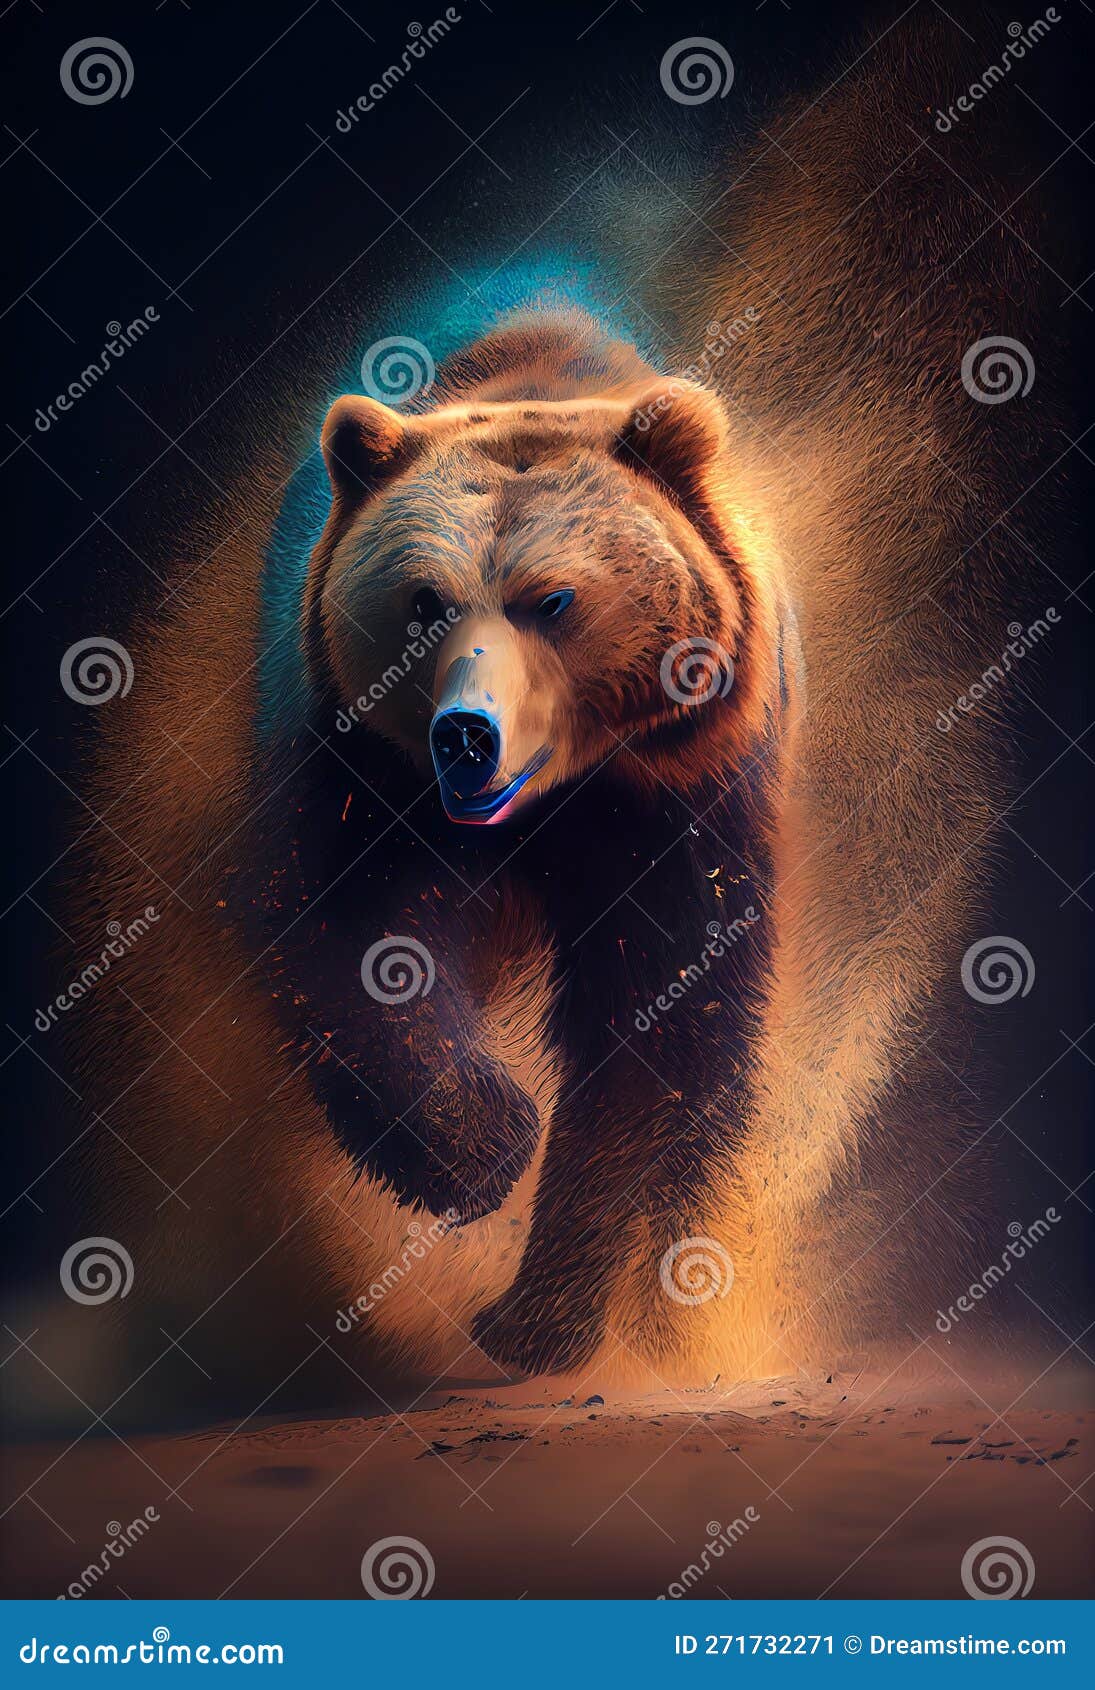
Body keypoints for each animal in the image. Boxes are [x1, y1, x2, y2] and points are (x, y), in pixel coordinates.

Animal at [61, 9, 1073, 1413]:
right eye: (422, 604)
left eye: (553, 599)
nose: (467, 735)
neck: (555, 802)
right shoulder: (357, 766)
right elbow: (356, 940)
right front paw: (479, 1149)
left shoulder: (681, 794)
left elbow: (660, 1020)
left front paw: (540, 1312)